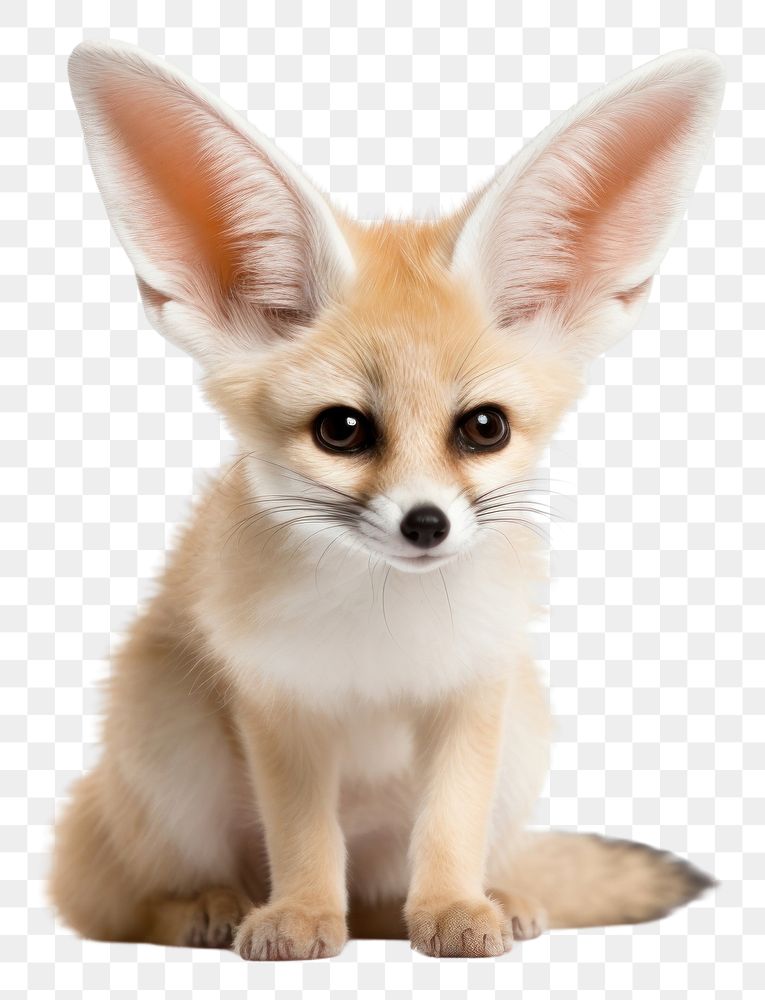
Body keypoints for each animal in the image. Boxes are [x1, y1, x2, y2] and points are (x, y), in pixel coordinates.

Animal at [49, 40, 724, 960]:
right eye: (341, 430)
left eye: (483, 427)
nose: (425, 523)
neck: (384, 630)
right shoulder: (282, 705)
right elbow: (304, 837)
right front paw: (300, 916)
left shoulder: (473, 692)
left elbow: (448, 827)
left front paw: (452, 908)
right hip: (162, 737)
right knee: (115, 906)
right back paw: (210, 909)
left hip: (522, 740)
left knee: (384, 894)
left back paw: (489, 898)